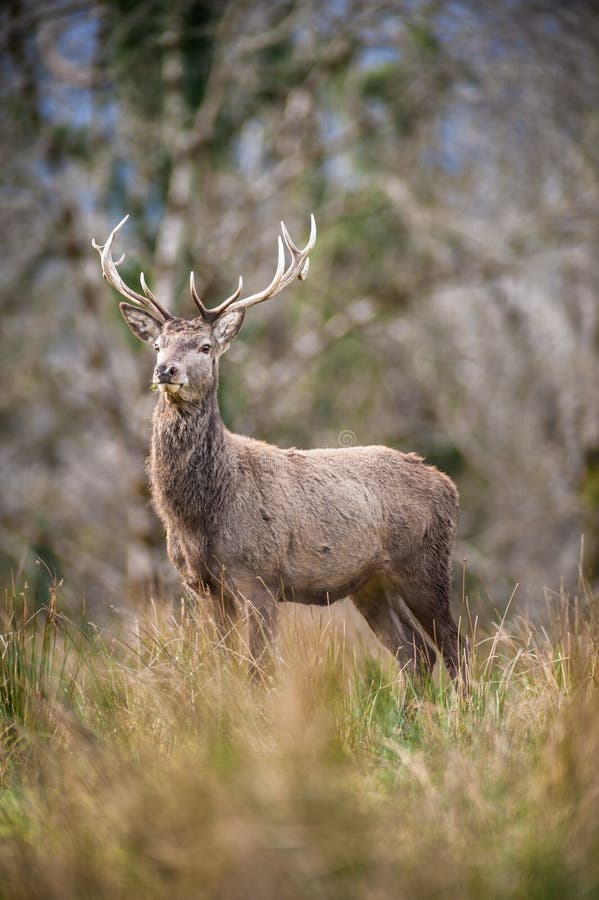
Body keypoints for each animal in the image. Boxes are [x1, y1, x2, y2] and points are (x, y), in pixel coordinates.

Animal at [92, 214, 467, 684]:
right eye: (157, 344)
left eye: (205, 346)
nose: (166, 370)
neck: (202, 511)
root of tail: (448, 486)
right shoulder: (202, 586)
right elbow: (223, 666)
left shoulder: (259, 577)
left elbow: (258, 668)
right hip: (371, 584)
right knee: (416, 654)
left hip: (425, 564)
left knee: (454, 648)